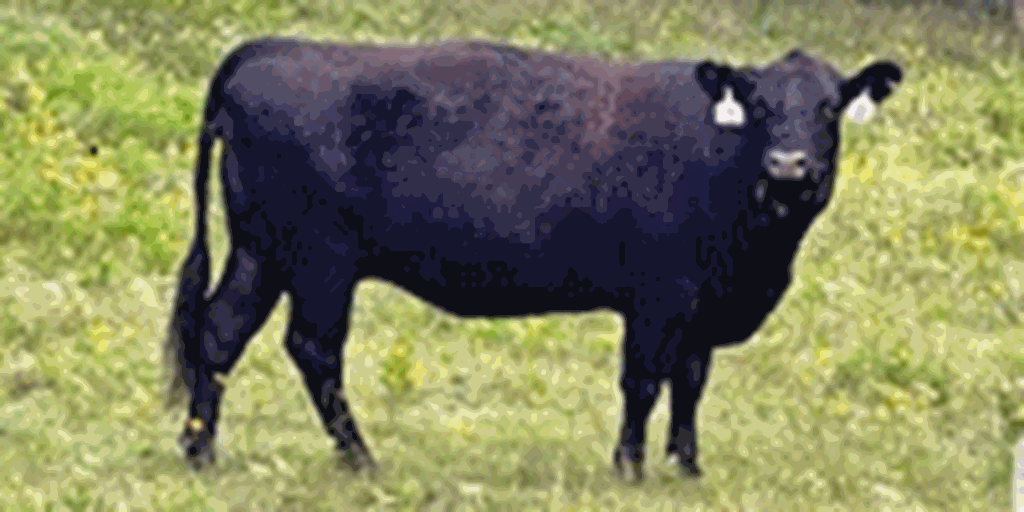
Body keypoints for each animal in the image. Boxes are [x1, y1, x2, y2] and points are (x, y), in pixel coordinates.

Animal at [164, 39, 902, 480]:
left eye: (829, 107)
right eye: (759, 106)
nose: (788, 166)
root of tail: (274, 46)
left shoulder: (703, 306)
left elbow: (692, 384)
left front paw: (687, 469)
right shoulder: (658, 296)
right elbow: (643, 382)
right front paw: (629, 469)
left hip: (261, 251)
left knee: (220, 331)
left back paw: (200, 451)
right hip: (321, 259)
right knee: (313, 348)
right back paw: (360, 459)